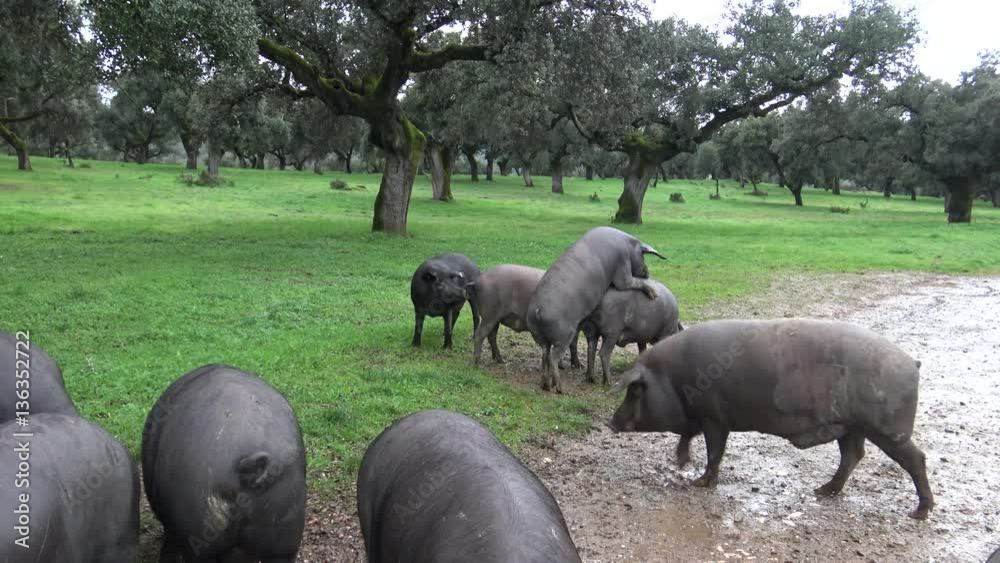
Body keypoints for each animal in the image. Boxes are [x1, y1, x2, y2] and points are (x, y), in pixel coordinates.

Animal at [527, 227, 665, 392]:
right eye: (643, 256)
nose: (647, 272)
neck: (629, 246)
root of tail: (538, 310)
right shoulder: (622, 270)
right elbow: (630, 282)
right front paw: (654, 294)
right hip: (563, 335)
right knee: (553, 357)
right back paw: (559, 388)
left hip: (539, 336)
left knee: (544, 355)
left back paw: (546, 386)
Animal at [608, 319, 934, 520]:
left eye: (634, 391)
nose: (610, 423)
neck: (673, 380)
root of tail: (913, 362)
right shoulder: (698, 418)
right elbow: (688, 437)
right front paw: (681, 462)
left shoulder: (714, 417)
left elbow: (714, 451)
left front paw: (700, 483)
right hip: (852, 427)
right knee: (853, 455)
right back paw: (822, 491)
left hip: (888, 429)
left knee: (915, 458)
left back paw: (919, 513)